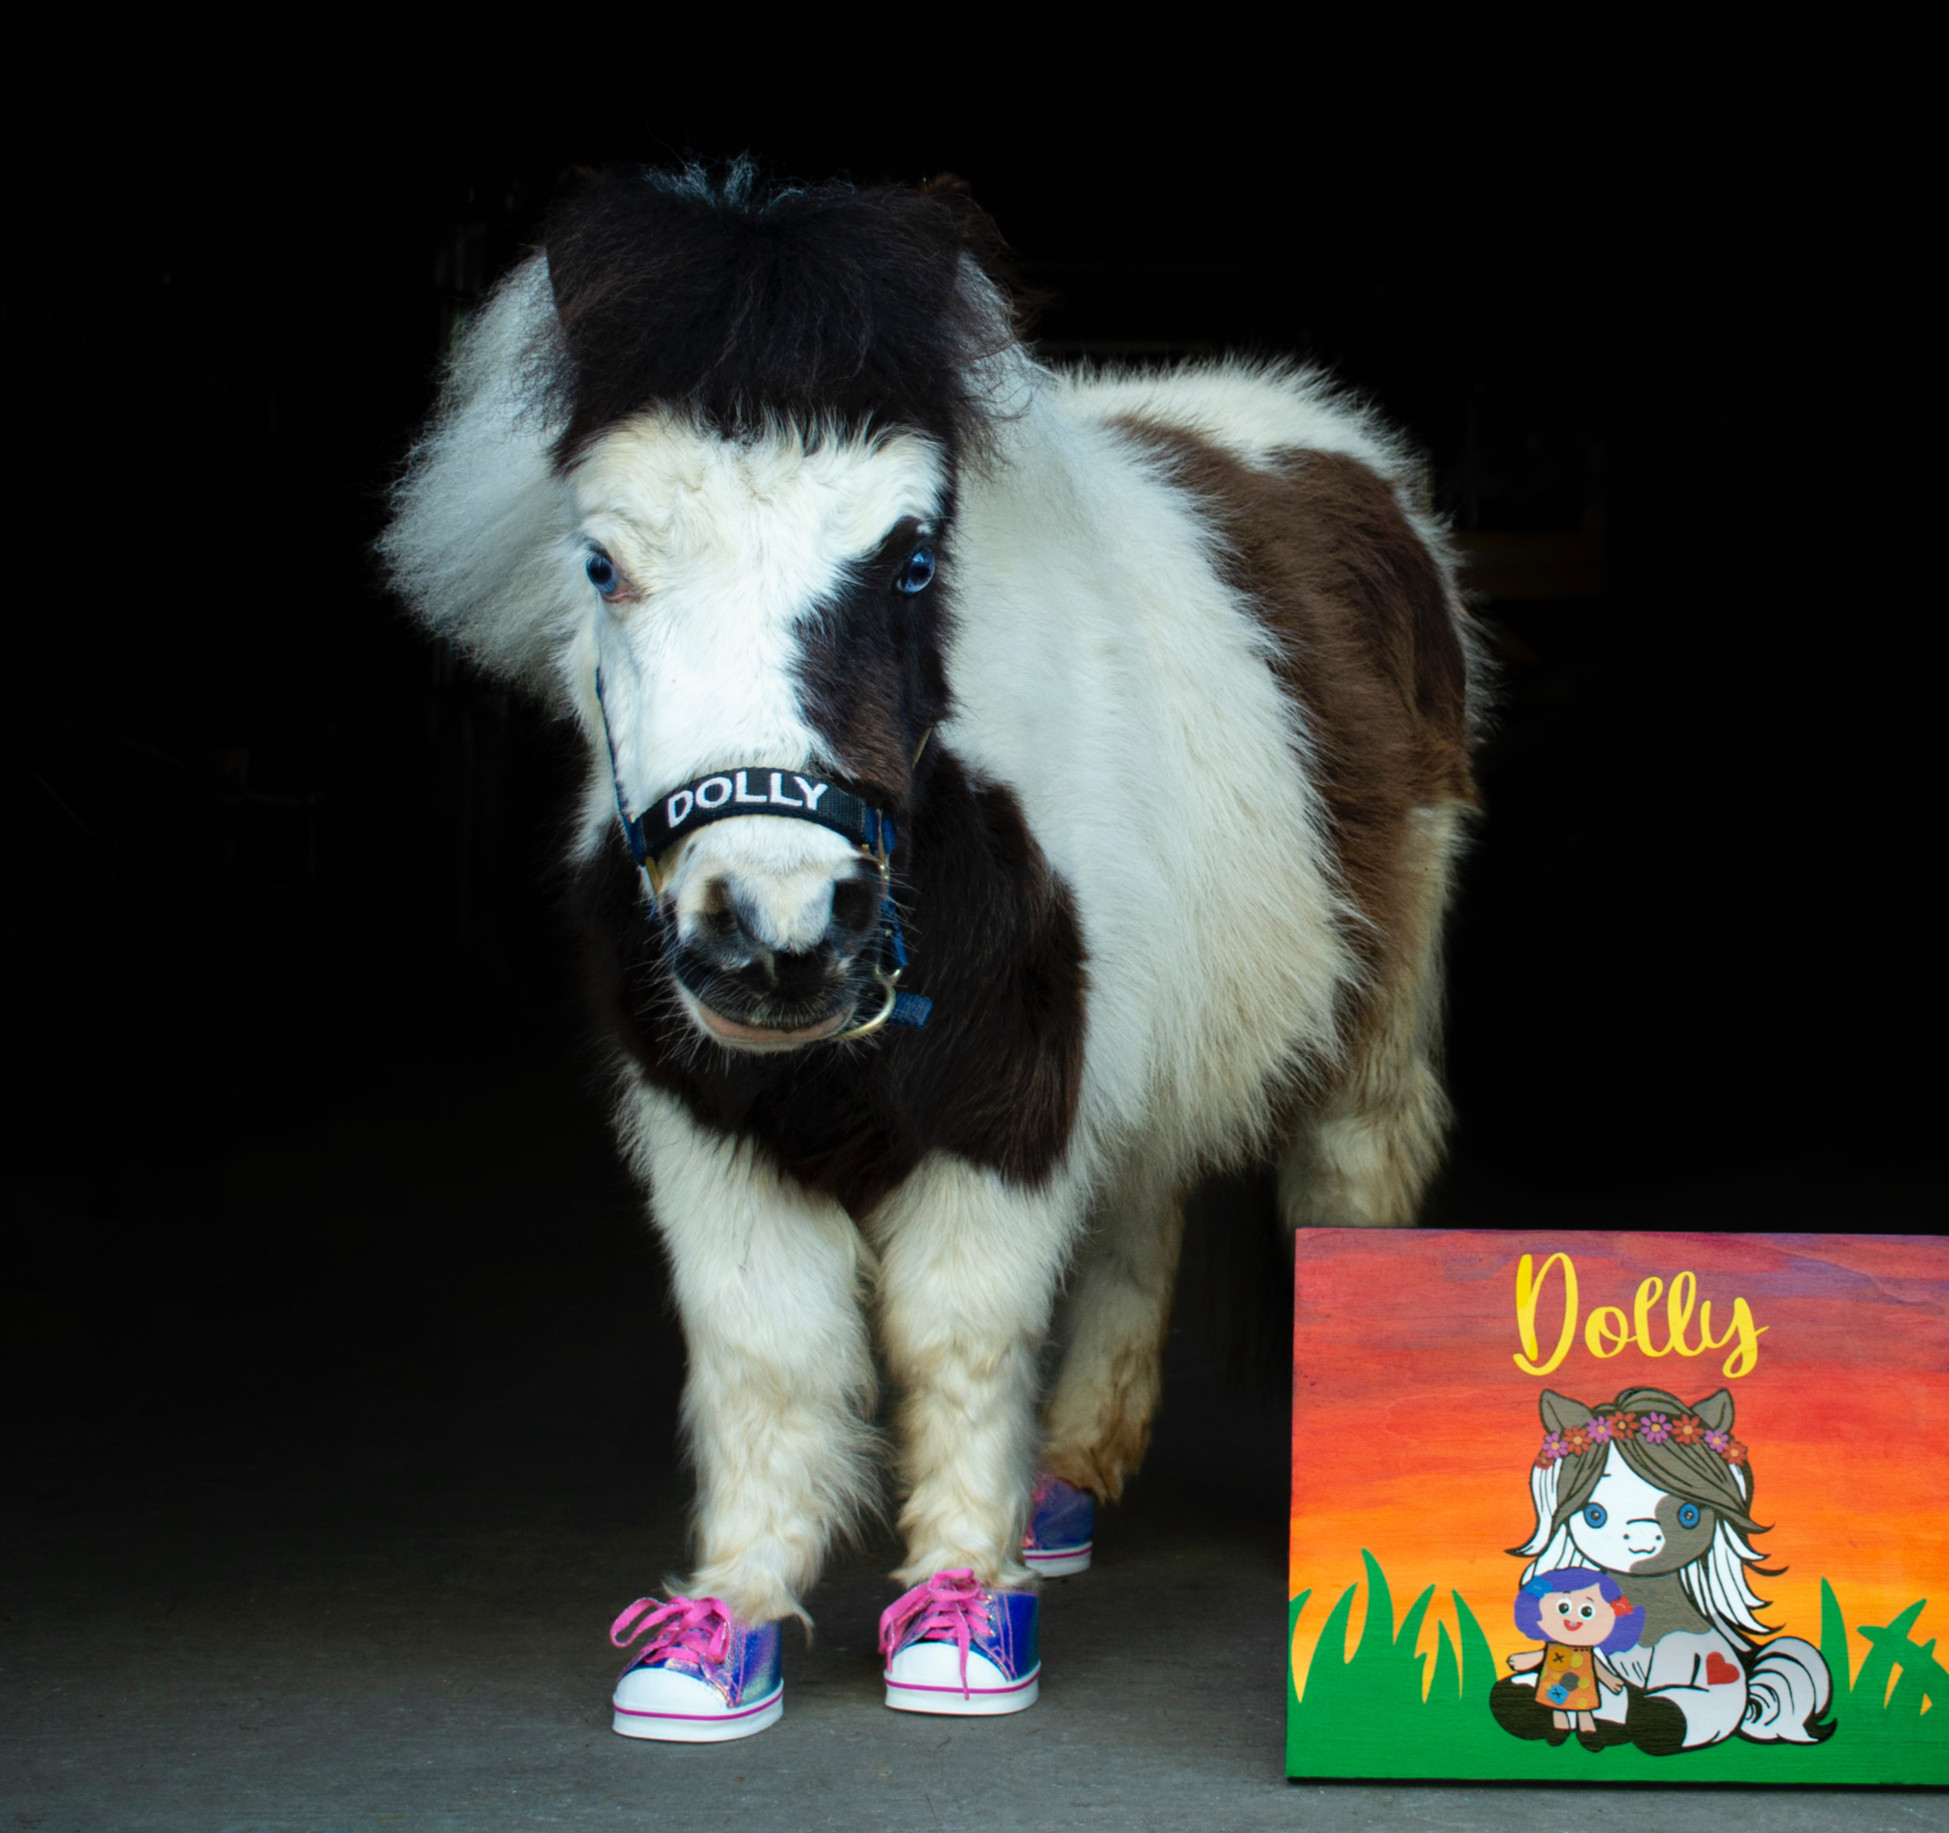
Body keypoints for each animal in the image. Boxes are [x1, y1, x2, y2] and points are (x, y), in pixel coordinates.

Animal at [383, 160, 1483, 1741]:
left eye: (910, 558)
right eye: (600, 564)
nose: (775, 930)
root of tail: (1306, 433)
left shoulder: (1005, 1104)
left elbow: (952, 1334)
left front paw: (962, 1613)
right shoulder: (711, 1120)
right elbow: (767, 1352)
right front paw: (724, 1627)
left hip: (1373, 1007)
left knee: (1348, 1177)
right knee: (1137, 1205)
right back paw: (1066, 1485)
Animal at [1496, 1386, 1833, 1752]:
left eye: (1689, 1514)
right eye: (1594, 1514)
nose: (1642, 1536)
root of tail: (1748, 1703)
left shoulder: (1679, 1654)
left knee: (1661, 1713)